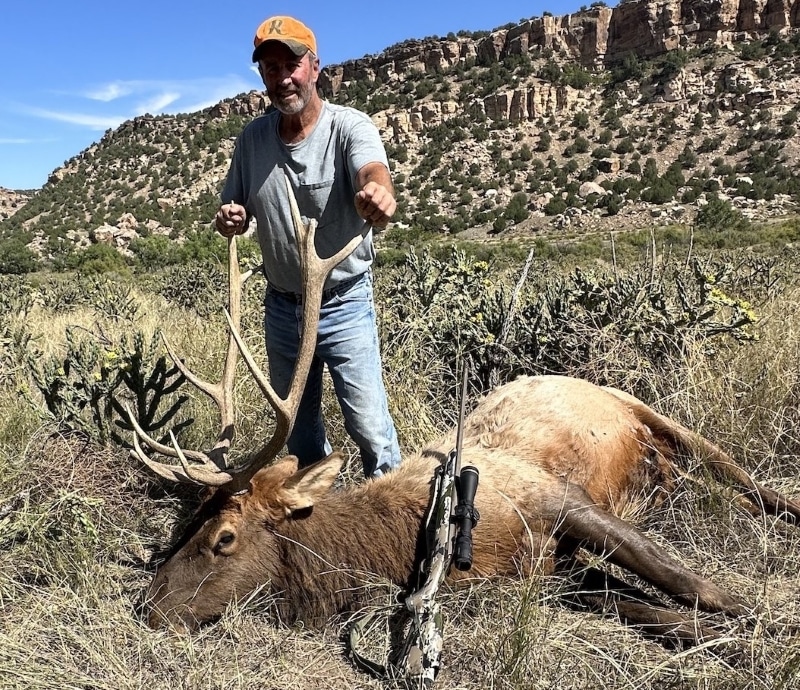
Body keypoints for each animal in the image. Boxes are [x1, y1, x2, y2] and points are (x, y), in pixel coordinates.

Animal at [132, 176, 800, 647]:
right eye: (183, 529)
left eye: (222, 538)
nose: (148, 607)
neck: (398, 541)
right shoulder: (553, 574)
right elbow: (652, 611)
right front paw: (721, 637)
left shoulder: (562, 502)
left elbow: (696, 585)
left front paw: (766, 624)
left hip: (660, 418)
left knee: (752, 484)